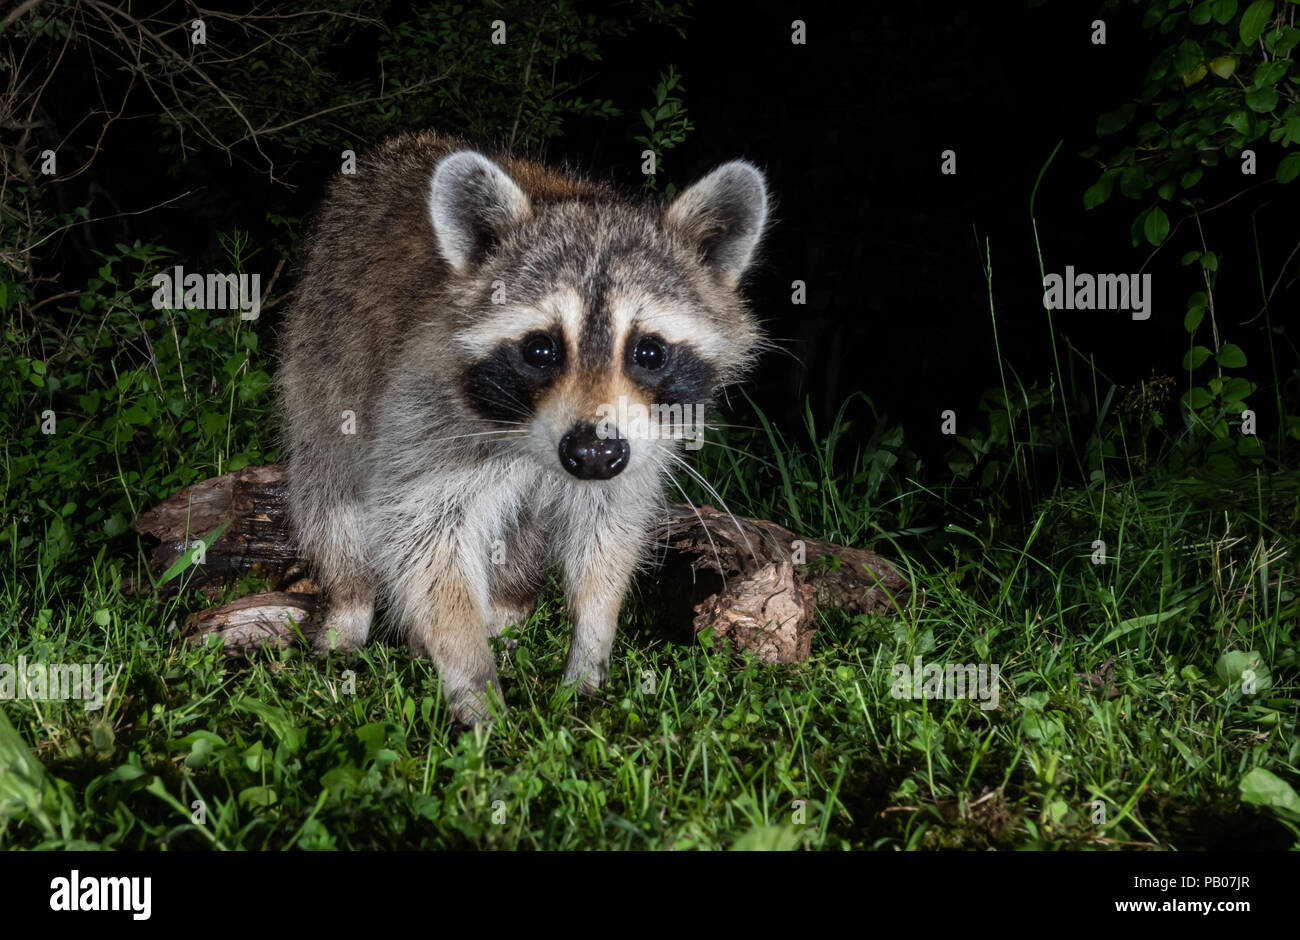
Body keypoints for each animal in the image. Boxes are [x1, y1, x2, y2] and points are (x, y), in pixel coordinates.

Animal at [278, 130, 768, 726]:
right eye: (540, 350)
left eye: (649, 352)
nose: (593, 454)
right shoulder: (423, 412)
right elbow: (423, 542)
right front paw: (473, 679)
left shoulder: (641, 446)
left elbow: (610, 528)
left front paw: (592, 643)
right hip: (323, 354)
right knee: (332, 494)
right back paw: (350, 601)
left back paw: (508, 611)